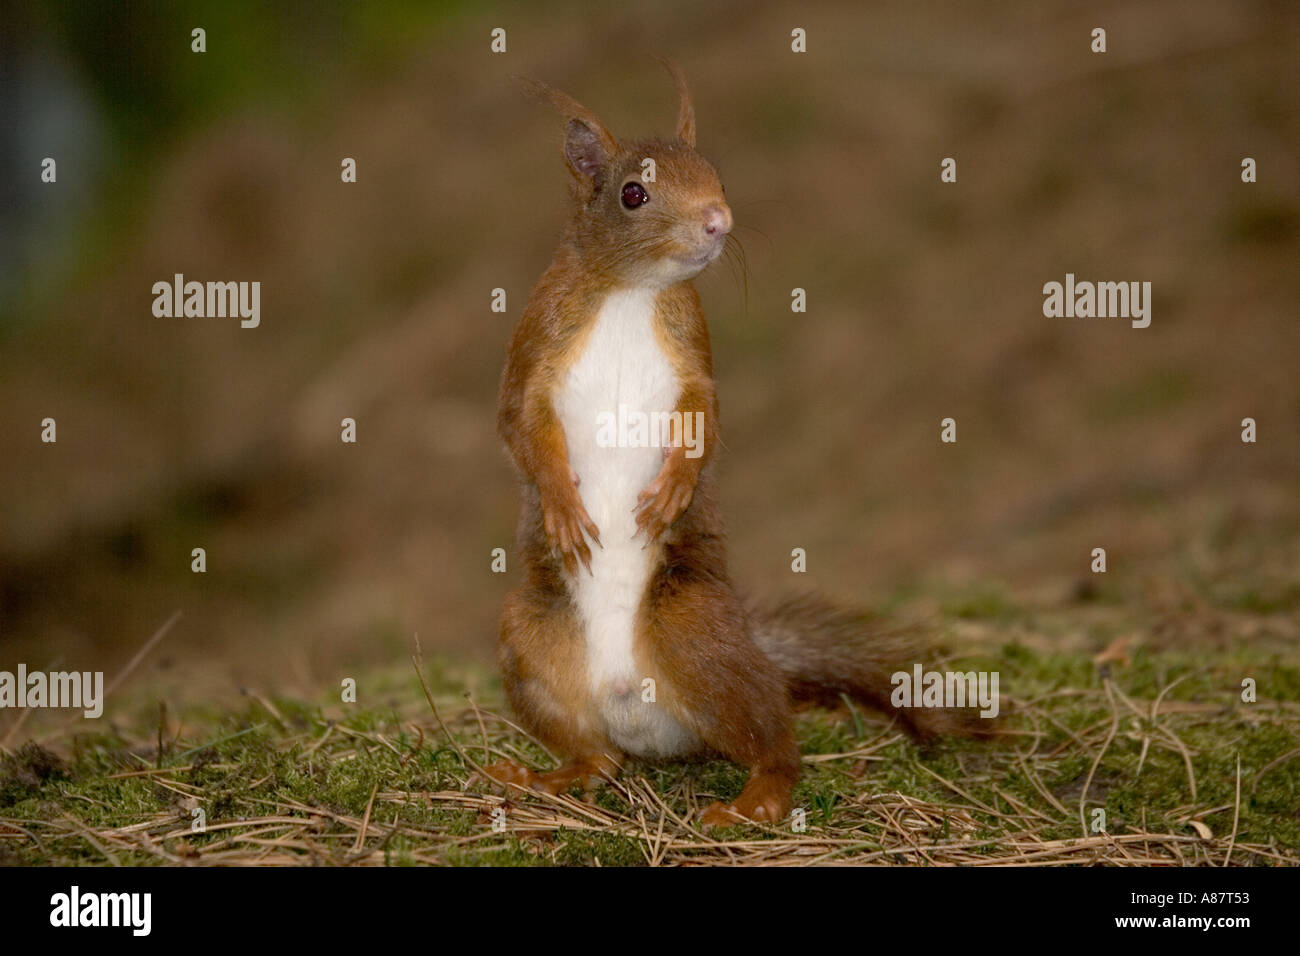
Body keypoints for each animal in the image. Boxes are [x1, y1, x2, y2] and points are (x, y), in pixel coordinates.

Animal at [486, 62, 986, 828]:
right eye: (633, 194)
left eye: (713, 173)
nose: (718, 220)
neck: (631, 294)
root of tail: (640, 713)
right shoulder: (536, 341)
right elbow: (519, 425)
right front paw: (563, 506)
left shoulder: (694, 354)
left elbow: (706, 419)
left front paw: (675, 487)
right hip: (531, 636)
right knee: (600, 758)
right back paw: (548, 774)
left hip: (690, 625)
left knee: (773, 738)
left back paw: (757, 796)